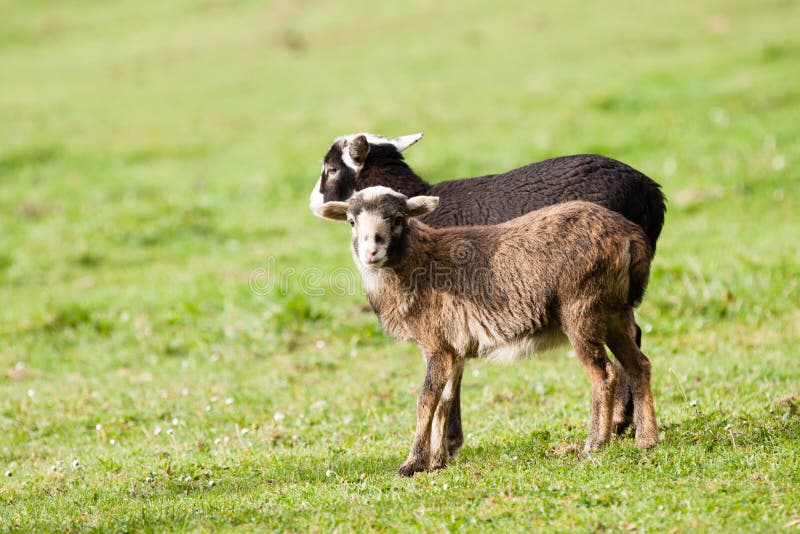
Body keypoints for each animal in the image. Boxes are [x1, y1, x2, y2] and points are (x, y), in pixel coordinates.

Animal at [309, 132, 666, 455]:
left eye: (331, 168)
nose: (314, 205)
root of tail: (652, 192)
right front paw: (446, 445)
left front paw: (444, 445)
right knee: (635, 347)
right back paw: (637, 431)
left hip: (587, 304)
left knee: (615, 357)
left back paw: (612, 428)